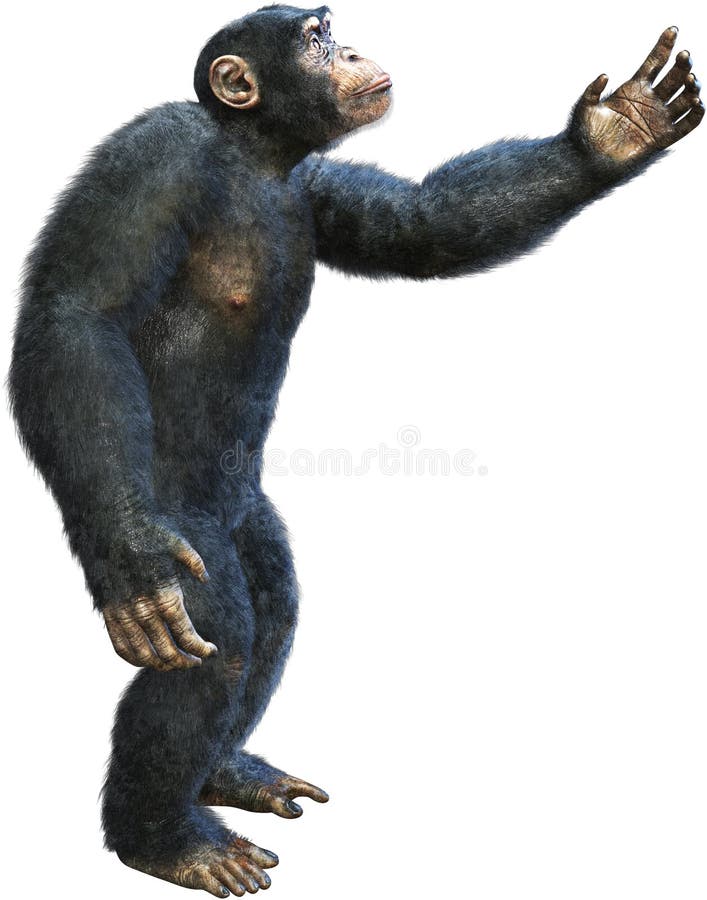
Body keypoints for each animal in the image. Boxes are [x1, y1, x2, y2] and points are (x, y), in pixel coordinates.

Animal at [9, 5, 702, 896]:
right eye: (312, 38)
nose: (347, 47)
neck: (253, 151)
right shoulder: (150, 160)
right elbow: (79, 318)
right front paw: (133, 561)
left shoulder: (316, 184)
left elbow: (418, 227)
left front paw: (614, 133)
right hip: (182, 527)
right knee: (220, 634)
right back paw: (164, 838)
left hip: (248, 521)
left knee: (275, 607)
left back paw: (227, 773)